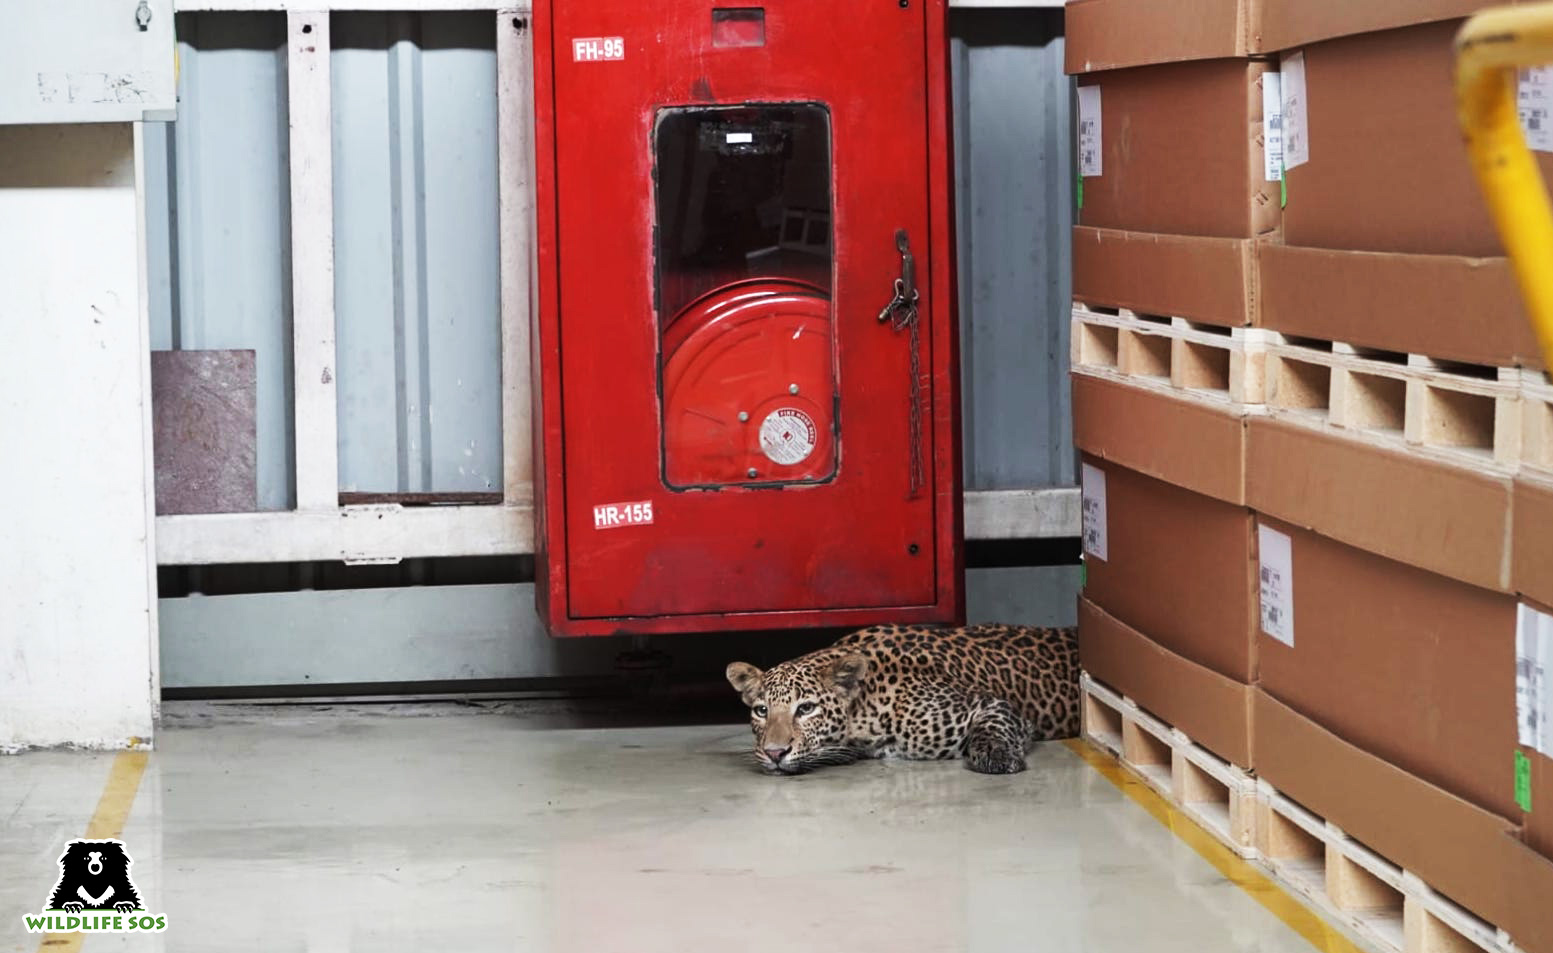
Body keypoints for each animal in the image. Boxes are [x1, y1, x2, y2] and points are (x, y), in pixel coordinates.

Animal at [725, 622, 1079, 776]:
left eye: (807, 708)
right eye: (761, 711)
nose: (774, 753)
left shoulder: (989, 705)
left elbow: (993, 727)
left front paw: (997, 756)